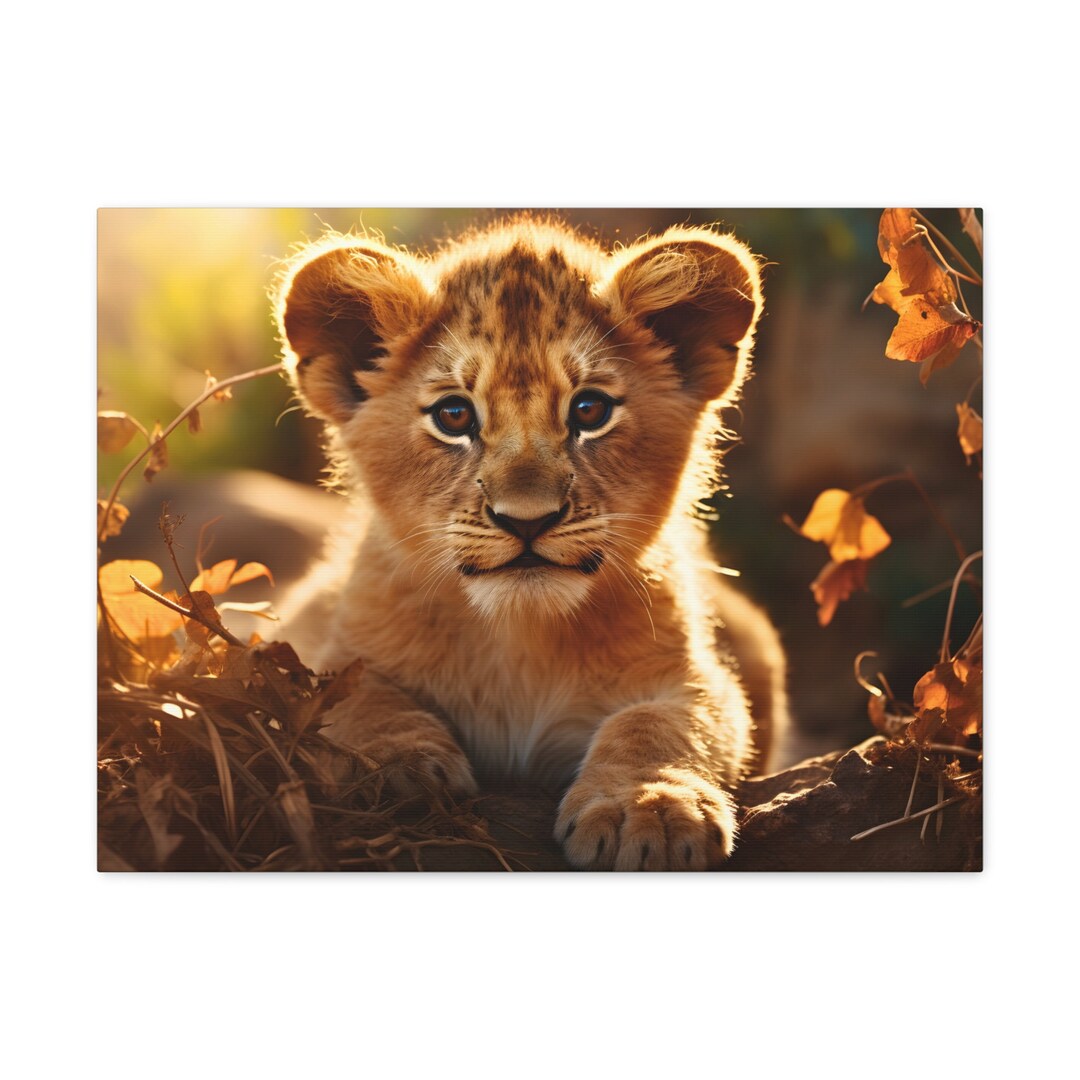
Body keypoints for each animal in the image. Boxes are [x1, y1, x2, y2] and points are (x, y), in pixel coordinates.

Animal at [275, 214, 788, 870]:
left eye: (590, 410)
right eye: (454, 416)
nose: (526, 520)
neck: (518, 640)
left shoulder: (695, 676)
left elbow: (662, 723)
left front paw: (648, 807)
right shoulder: (320, 641)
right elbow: (355, 695)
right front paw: (394, 767)